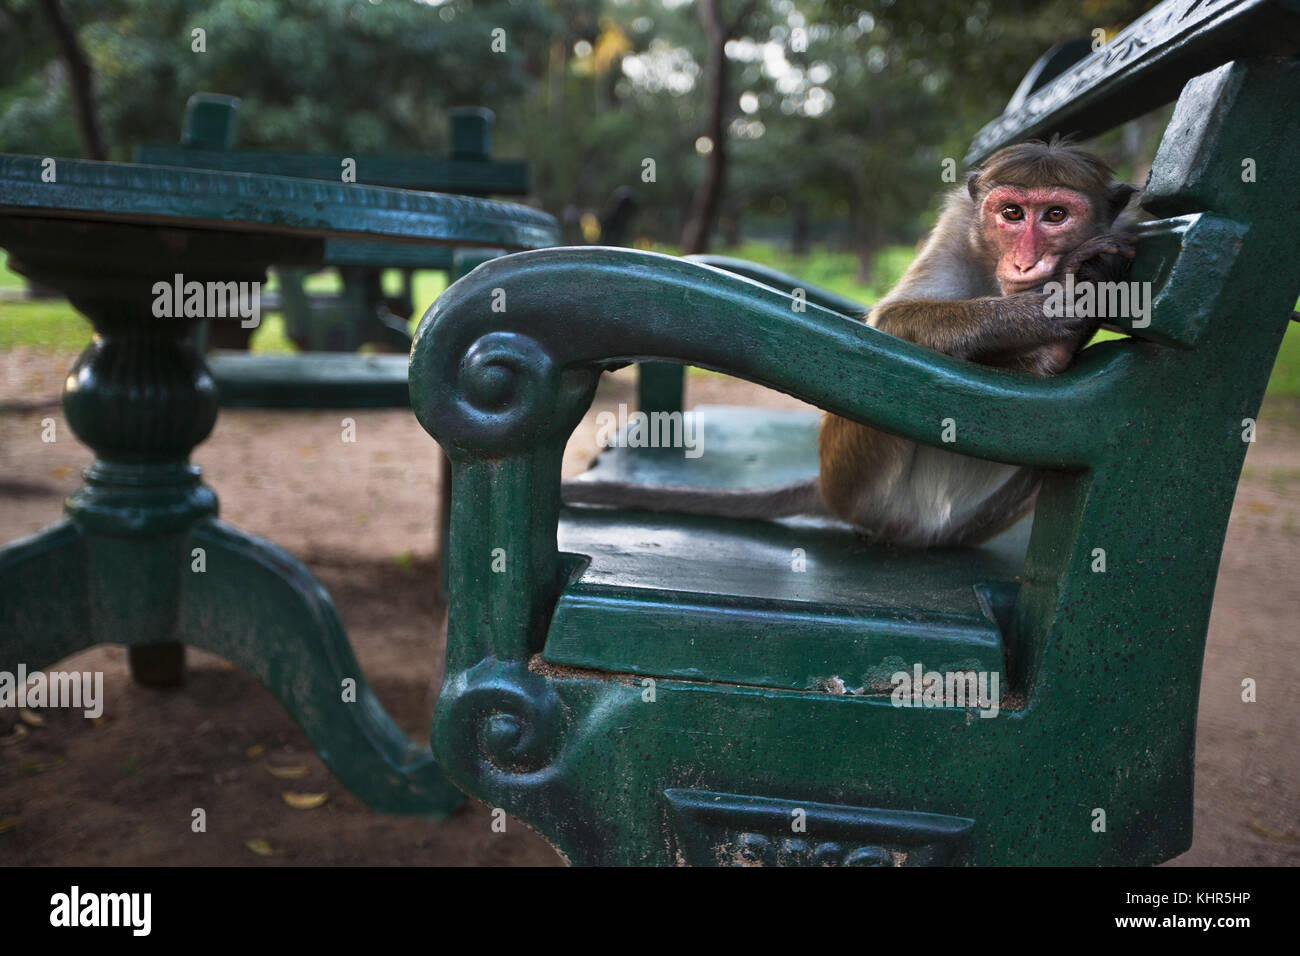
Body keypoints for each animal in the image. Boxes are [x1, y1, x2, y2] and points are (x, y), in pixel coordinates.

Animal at [562, 140, 1138, 548]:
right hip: (857, 480)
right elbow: (890, 322)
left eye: (1056, 215)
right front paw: (1054, 307)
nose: (1027, 262)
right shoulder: (956, 227)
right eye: (1012, 214)